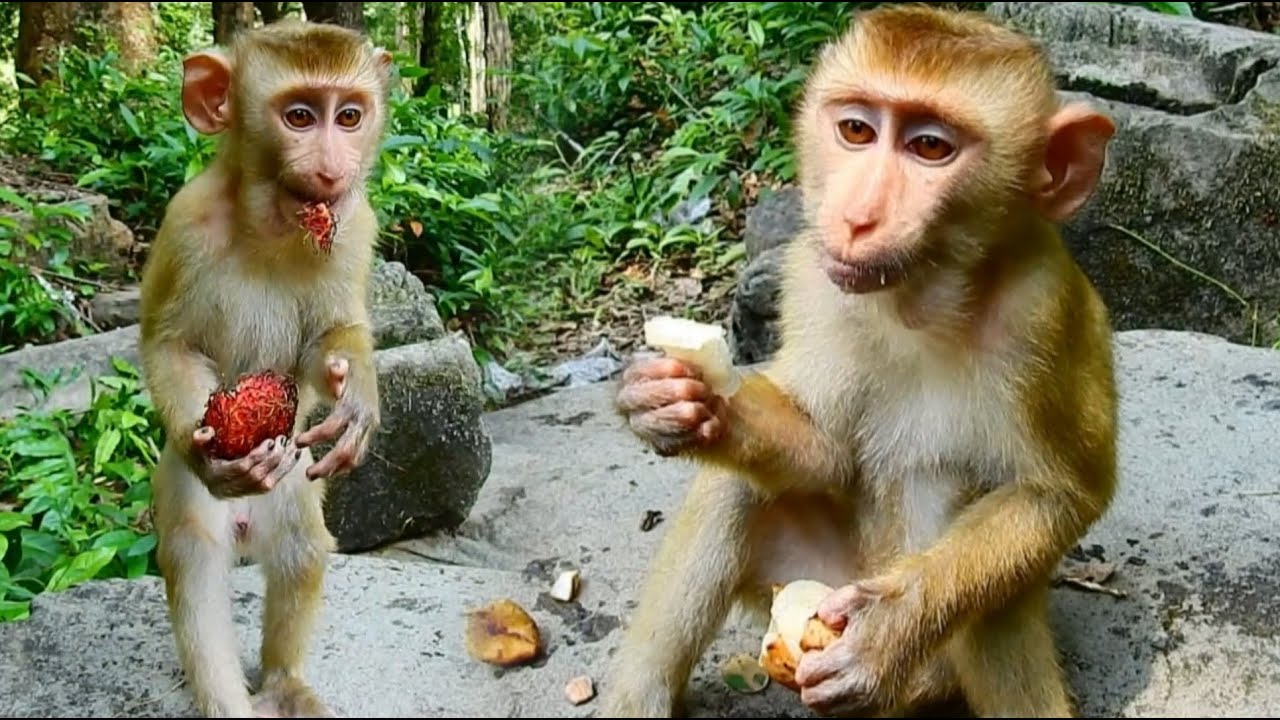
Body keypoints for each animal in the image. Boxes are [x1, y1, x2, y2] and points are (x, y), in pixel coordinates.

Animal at [136, 19, 391, 718]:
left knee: (302, 546)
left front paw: (354, 393)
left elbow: (336, 333)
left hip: (293, 483)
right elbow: (168, 347)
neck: (273, 223)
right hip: (187, 495)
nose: (332, 168)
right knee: (195, 562)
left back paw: (282, 682)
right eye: (299, 116)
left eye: (349, 115)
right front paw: (211, 447)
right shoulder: (184, 224)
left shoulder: (354, 223)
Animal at [604, 4, 1118, 718]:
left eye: (930, 147)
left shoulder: (1044, 313)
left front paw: (884, 633)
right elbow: (824, 450)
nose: (855, 218)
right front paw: (671, 402)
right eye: (855, 130)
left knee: (995, 592)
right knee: (732, 486)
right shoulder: (810, 278)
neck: (919, 303)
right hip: (800, 575)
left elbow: (1060, 495)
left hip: (931, 669)